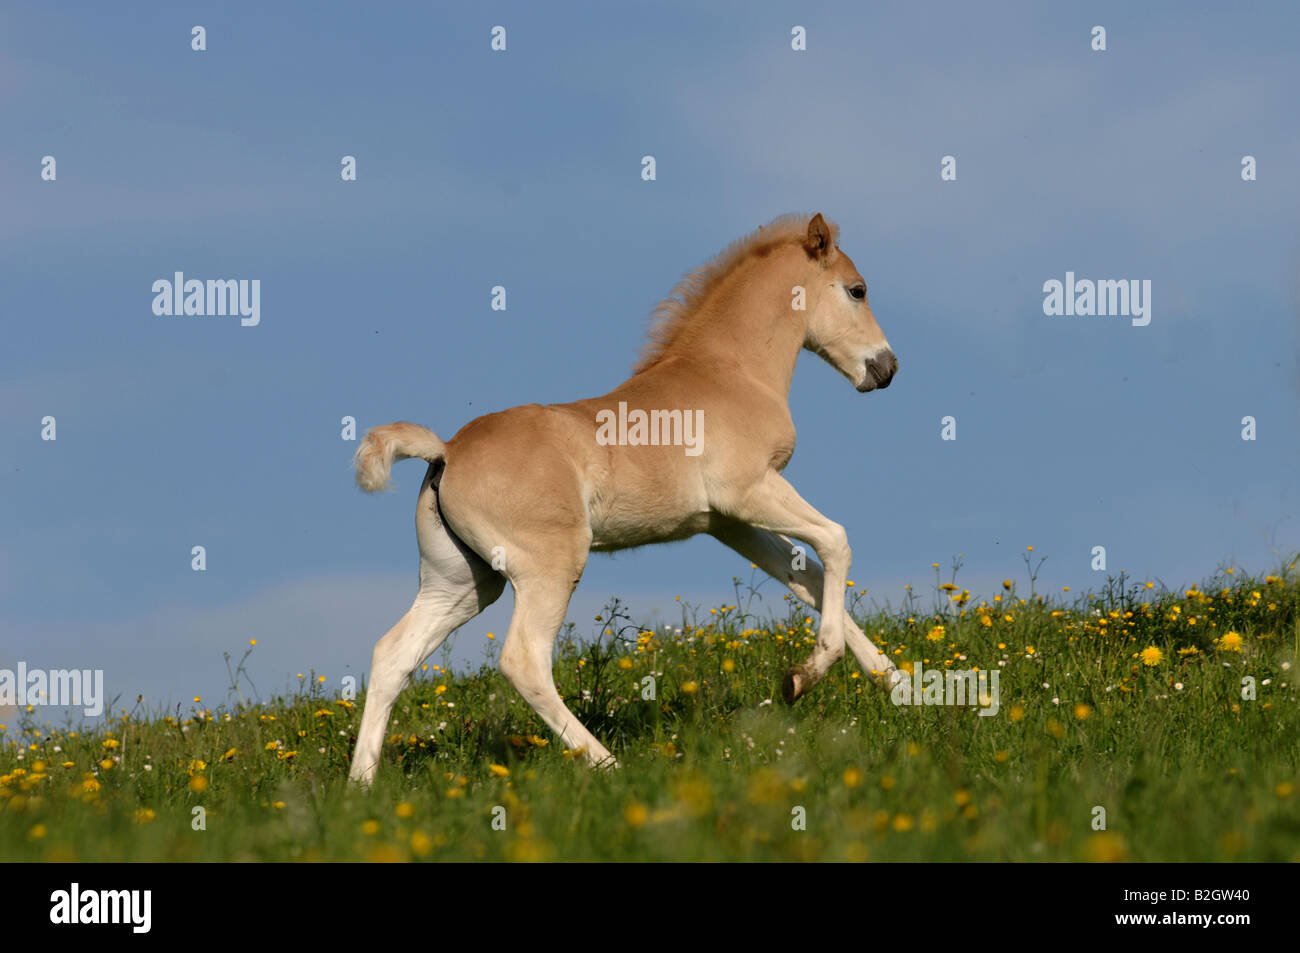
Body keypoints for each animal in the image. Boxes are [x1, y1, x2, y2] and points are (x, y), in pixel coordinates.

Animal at [347, 212, 902, 785]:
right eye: (857, 290)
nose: (886, 368)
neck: (728, 374)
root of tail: (446, 451)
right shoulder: (752, 492)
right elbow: (835, 542)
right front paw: (805, 676)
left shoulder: (727, 523)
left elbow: (805, 579)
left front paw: (898, 686)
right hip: (548, 567)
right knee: (523, 660)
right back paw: (609, 764)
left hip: (461, 582)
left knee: (392, 655)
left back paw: (360, 784)